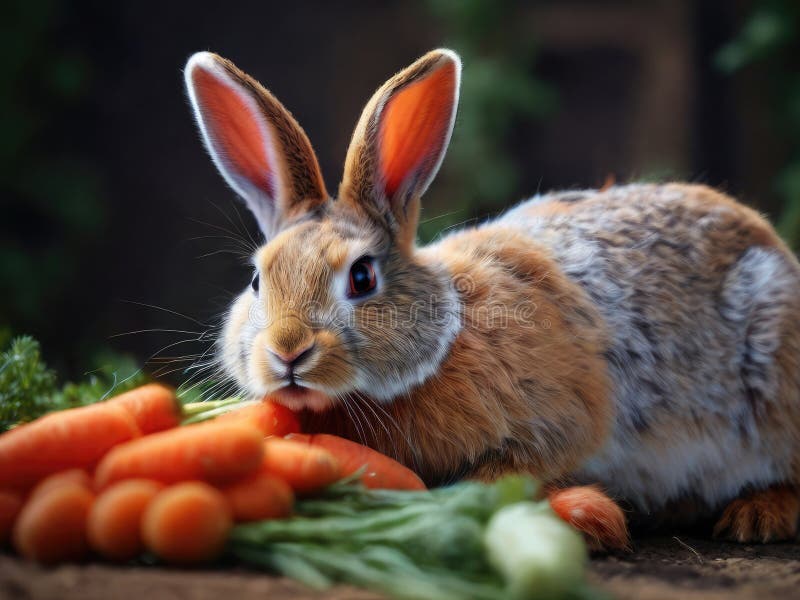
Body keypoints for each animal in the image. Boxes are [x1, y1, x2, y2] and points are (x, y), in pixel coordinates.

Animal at [184, 48, 800, 550]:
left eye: (361, 278)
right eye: (257, 280)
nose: (288, 352)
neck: (443, 341)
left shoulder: (563, 419)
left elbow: (502, 478)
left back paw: (755, 517)